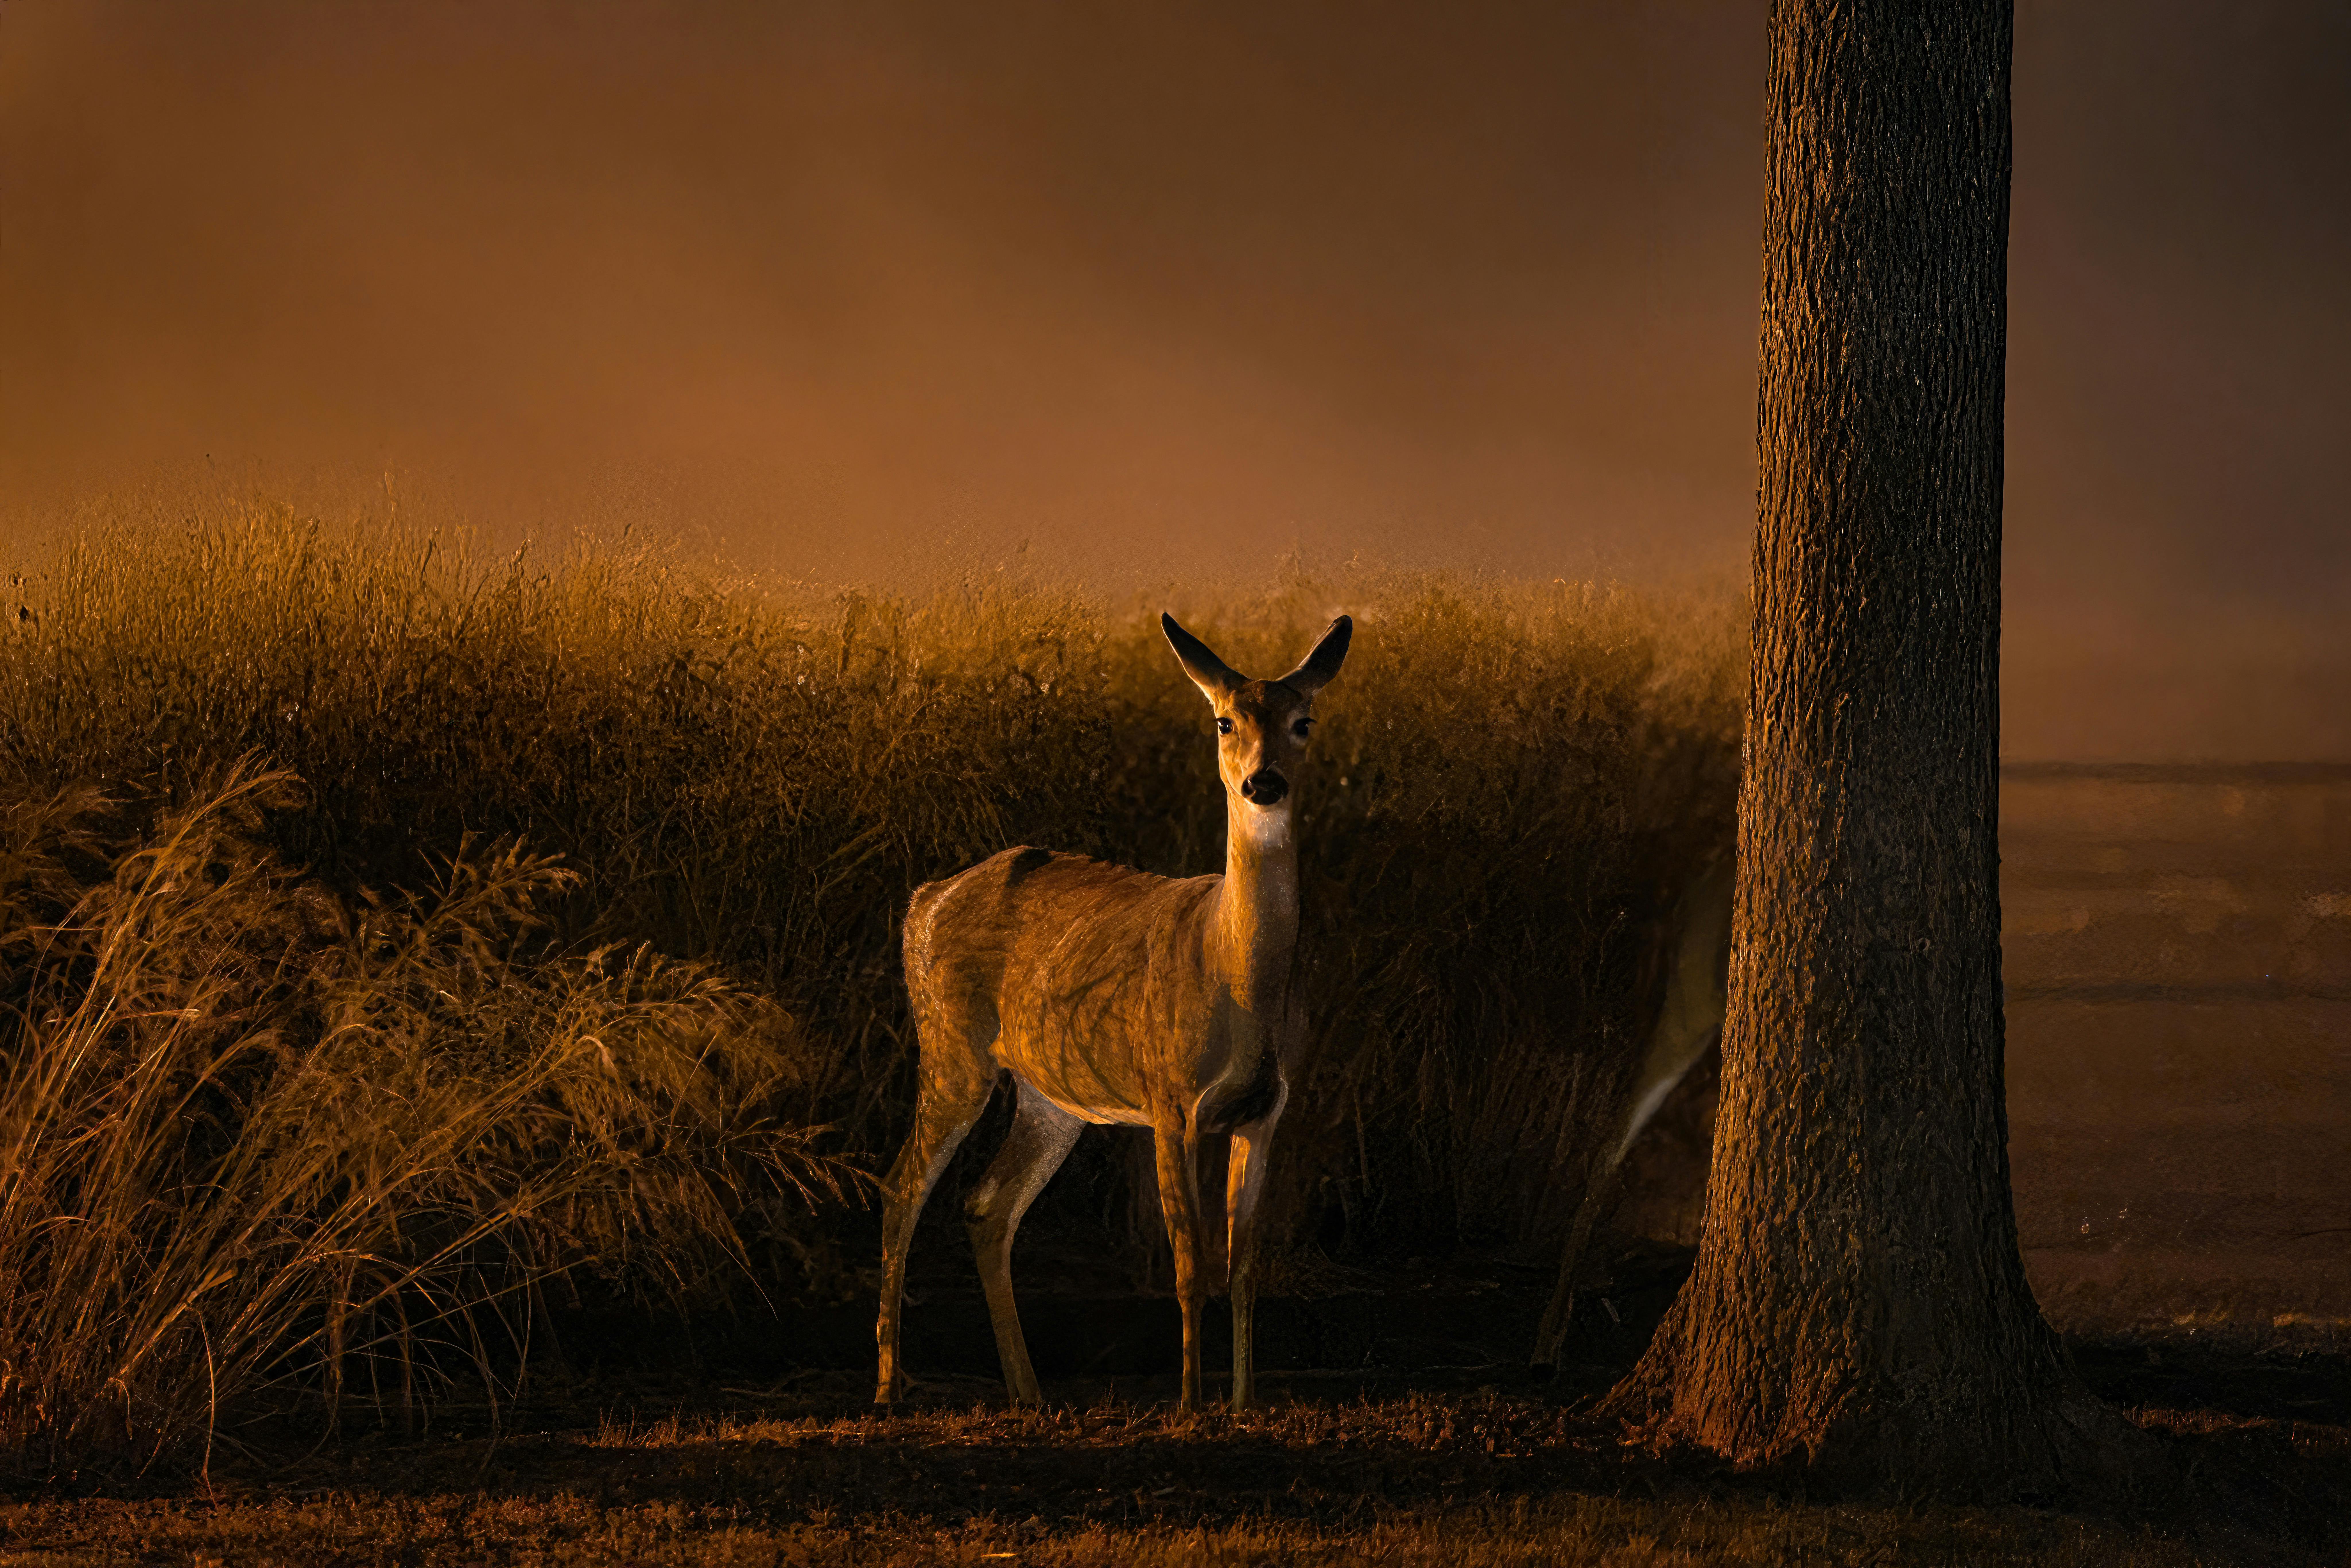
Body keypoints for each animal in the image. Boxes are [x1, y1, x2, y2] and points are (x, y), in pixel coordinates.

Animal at [874, 611, 1351, 1412]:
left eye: (1303, 721)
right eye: (1224, 720)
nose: (1263, 782)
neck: (1236, 979)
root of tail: (922, 900)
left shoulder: (1266, 1110)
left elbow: (1244, 1268)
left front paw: (1244, 1403)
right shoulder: (1169, 1095)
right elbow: (1190, 1263)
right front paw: (1190, 1404)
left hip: (1051, 1097)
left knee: (986, 1205)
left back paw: (1029, 1391)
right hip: (951, 1049)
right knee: (901, 1186)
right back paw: (888, 1386)